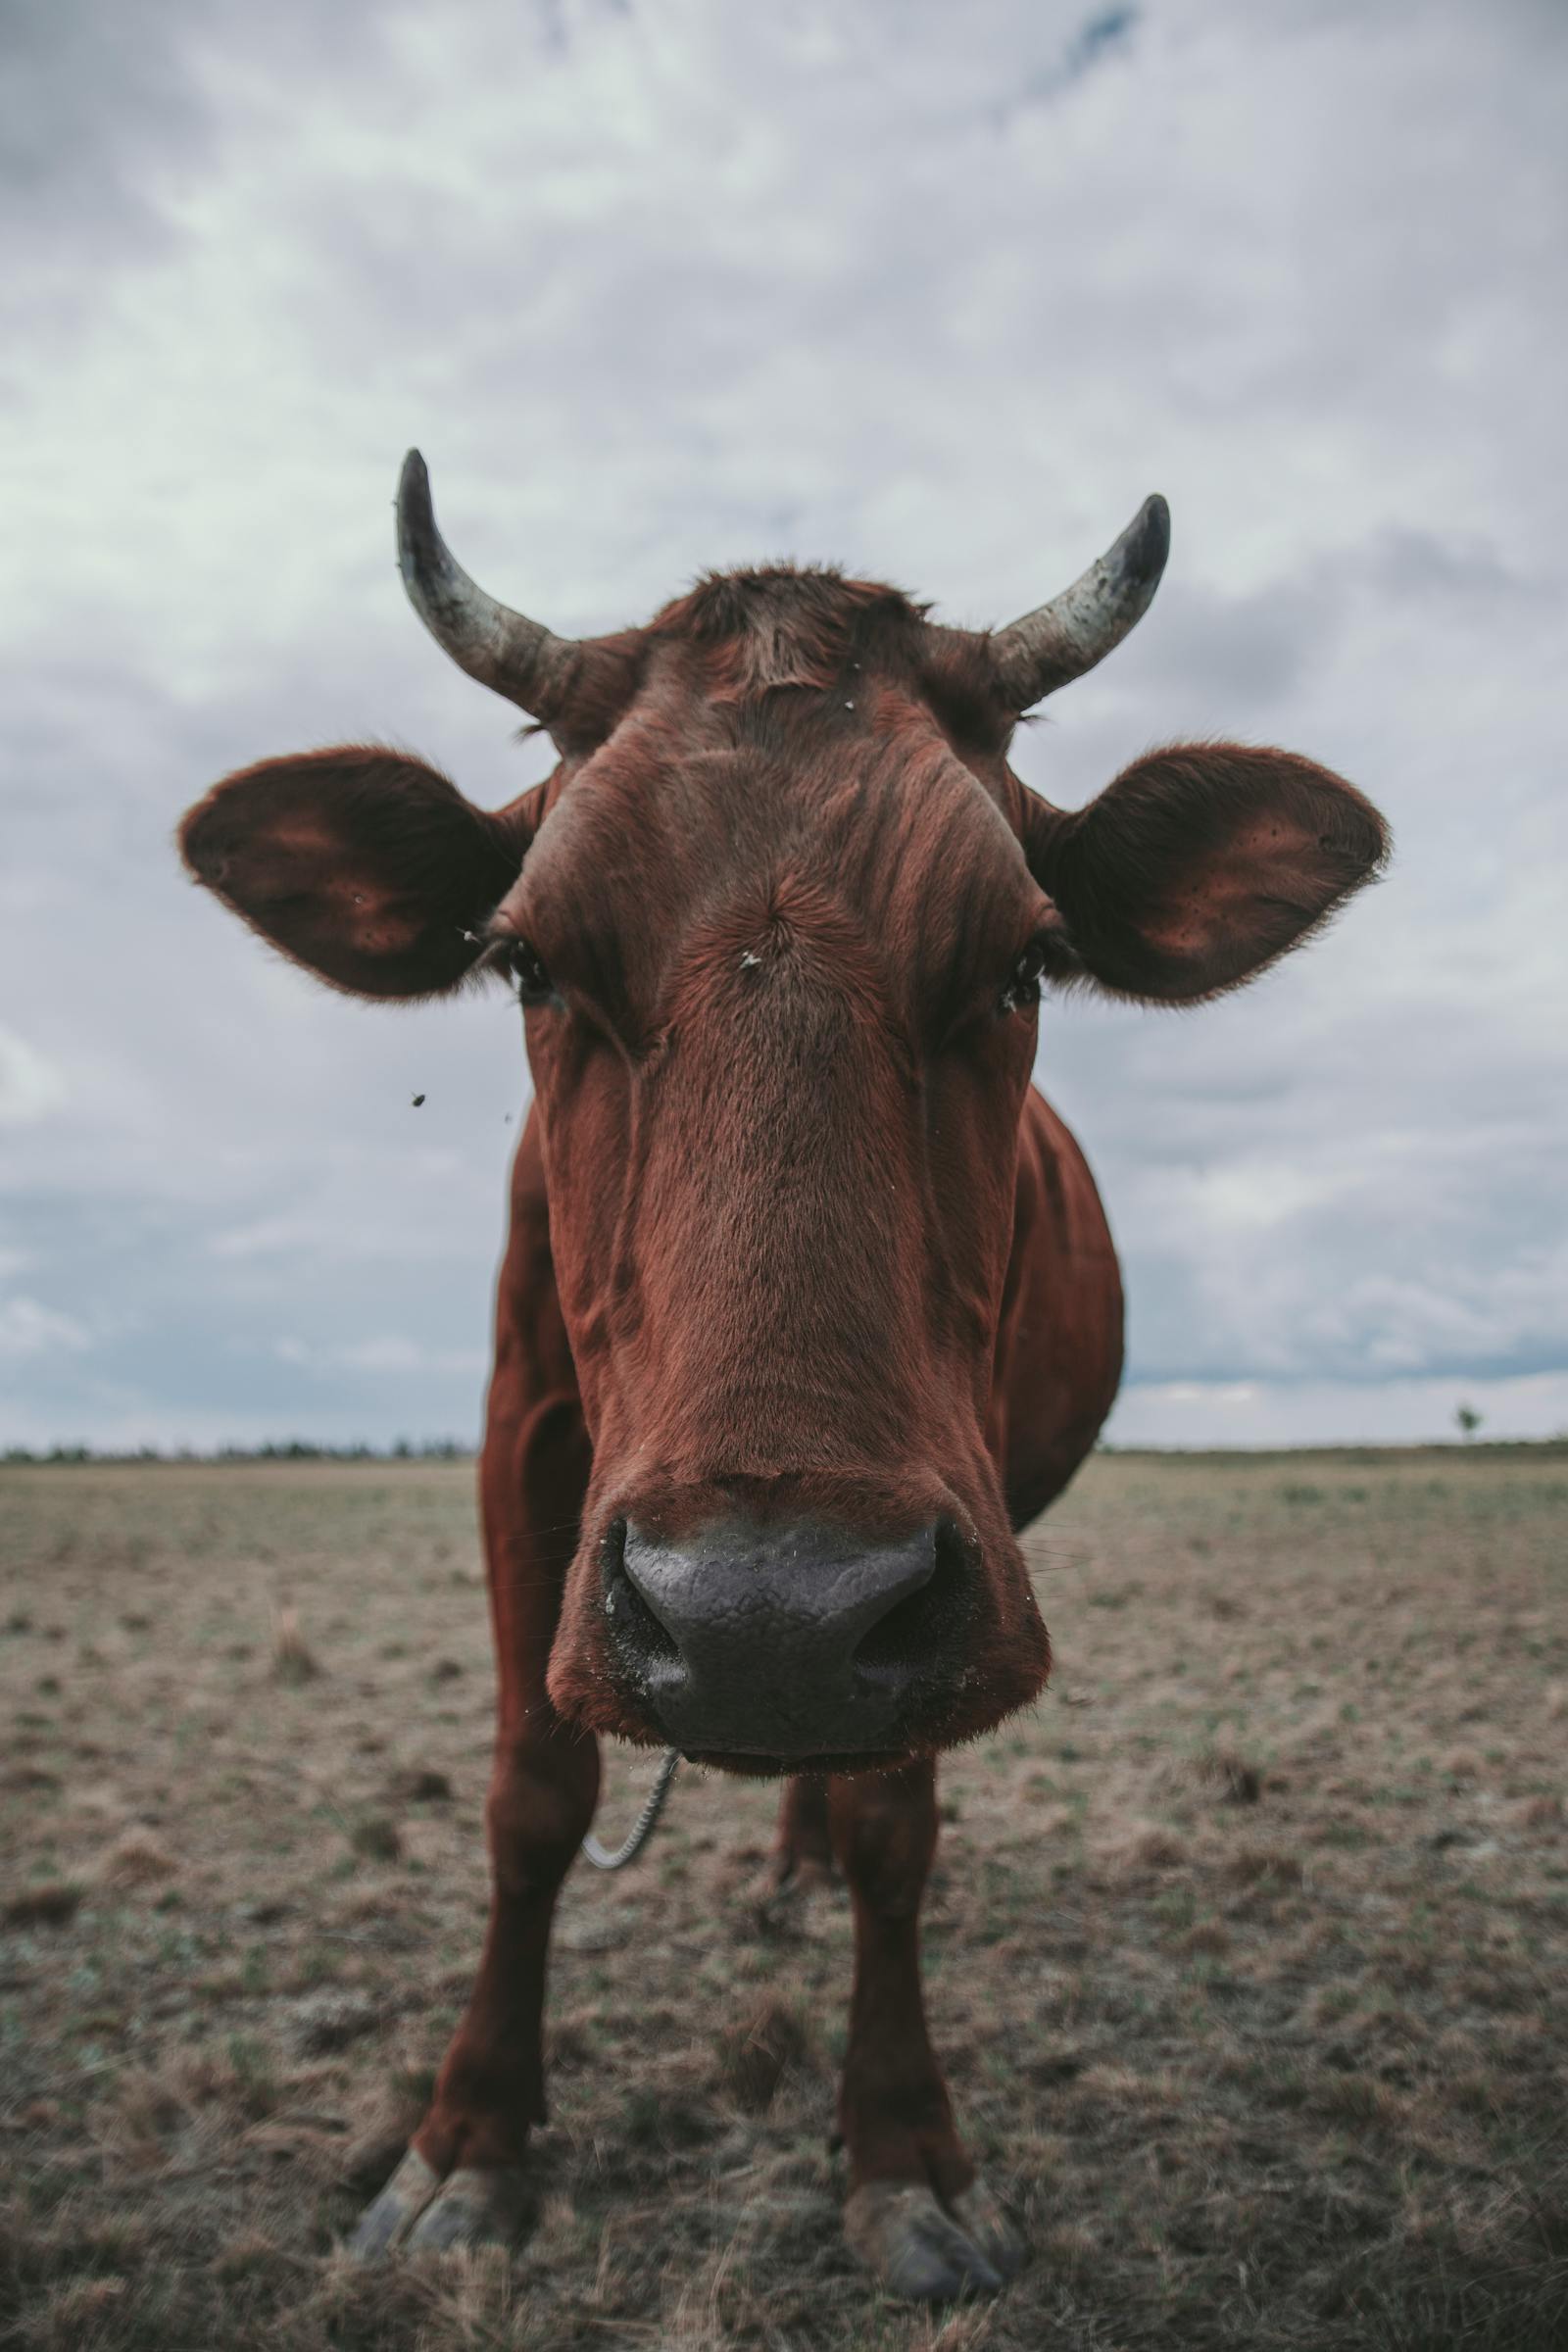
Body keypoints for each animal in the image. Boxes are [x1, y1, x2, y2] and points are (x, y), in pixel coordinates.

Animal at [178, 455, 1388, 2301]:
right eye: (529, 961)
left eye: (1022, 963)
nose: (770, 1615)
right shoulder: (523, 1445)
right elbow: (532, 1797)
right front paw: (468, 2140)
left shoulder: (956, 1532)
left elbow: (899, 1826)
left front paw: (902, 2148)